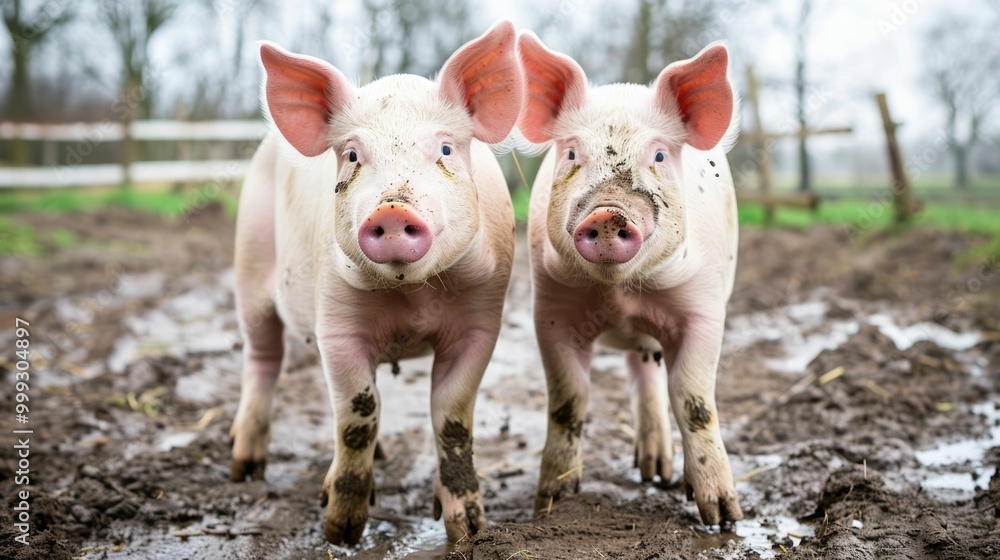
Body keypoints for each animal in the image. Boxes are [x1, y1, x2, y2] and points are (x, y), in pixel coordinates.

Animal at [228, 21, 522, 545]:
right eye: (351, 154)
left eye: (445, 149)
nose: (391, 209)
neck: (412, 294)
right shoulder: (335, 325)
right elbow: (357, 415)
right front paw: (341, 532)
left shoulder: (481, 323)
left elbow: (452, 418)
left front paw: (468, 530)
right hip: (249, 268)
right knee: (262, 359)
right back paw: (244, 469)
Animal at [517, 33, 744, 525]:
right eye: (571, 153)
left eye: (658, 154)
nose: (608, 213)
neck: (620, 293)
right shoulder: (551, 312)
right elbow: (568, 401)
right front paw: (550, 502)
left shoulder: (703, 308)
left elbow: (695, 401)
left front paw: (722, 516)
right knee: (641, 369)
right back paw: (651, 469)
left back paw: (659, 475)